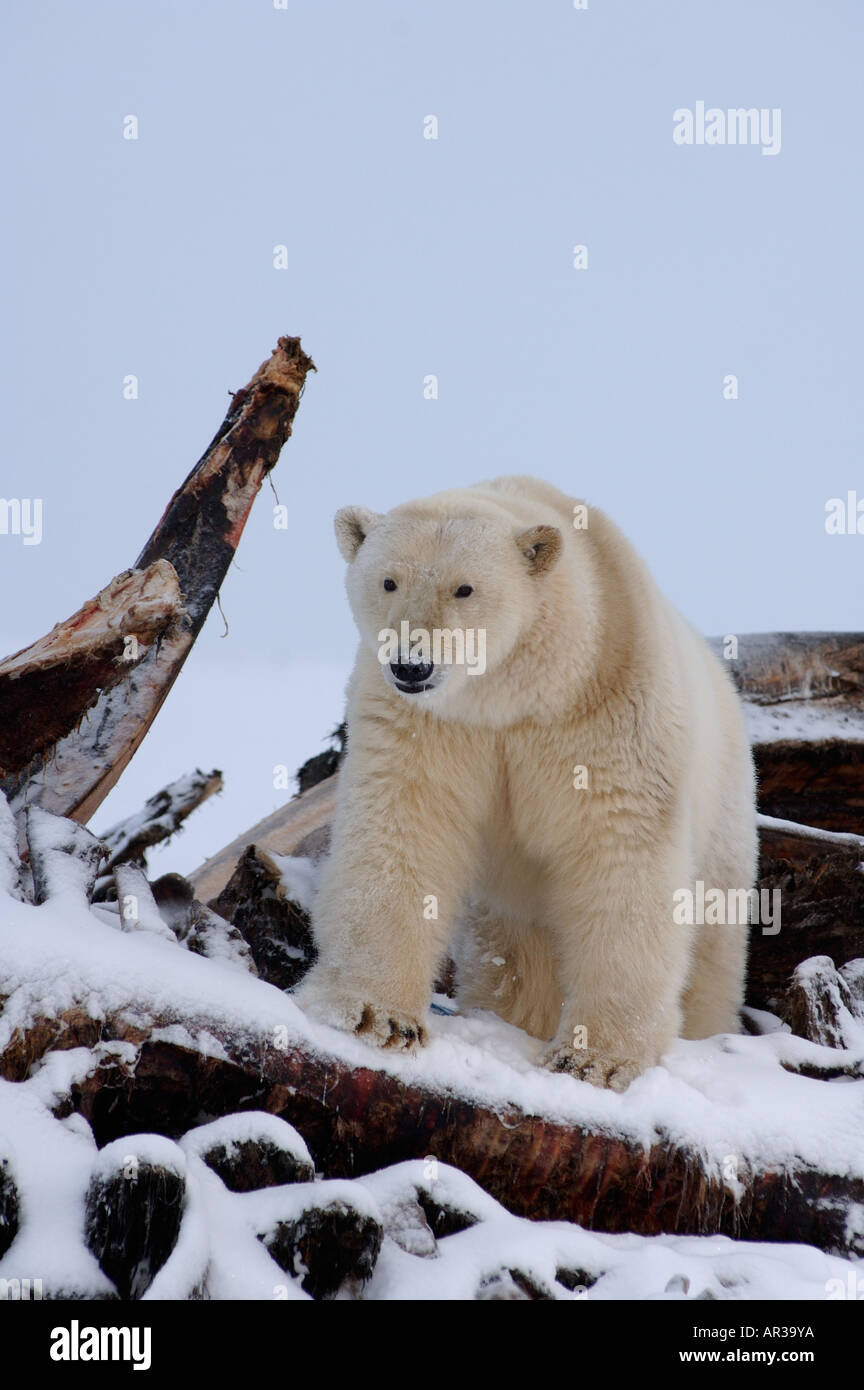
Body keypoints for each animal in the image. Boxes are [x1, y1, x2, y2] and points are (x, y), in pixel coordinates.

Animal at [294, 475, 758, 1090]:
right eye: (388, 580)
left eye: (464, 588)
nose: (412, 665)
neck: (515, 691)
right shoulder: (428, 723)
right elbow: (403, 825)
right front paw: (376, 1016)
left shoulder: (607, 707)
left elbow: (621, 858)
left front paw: (593, 1059)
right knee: (515, 954)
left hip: (723, 818)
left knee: (711, 950)